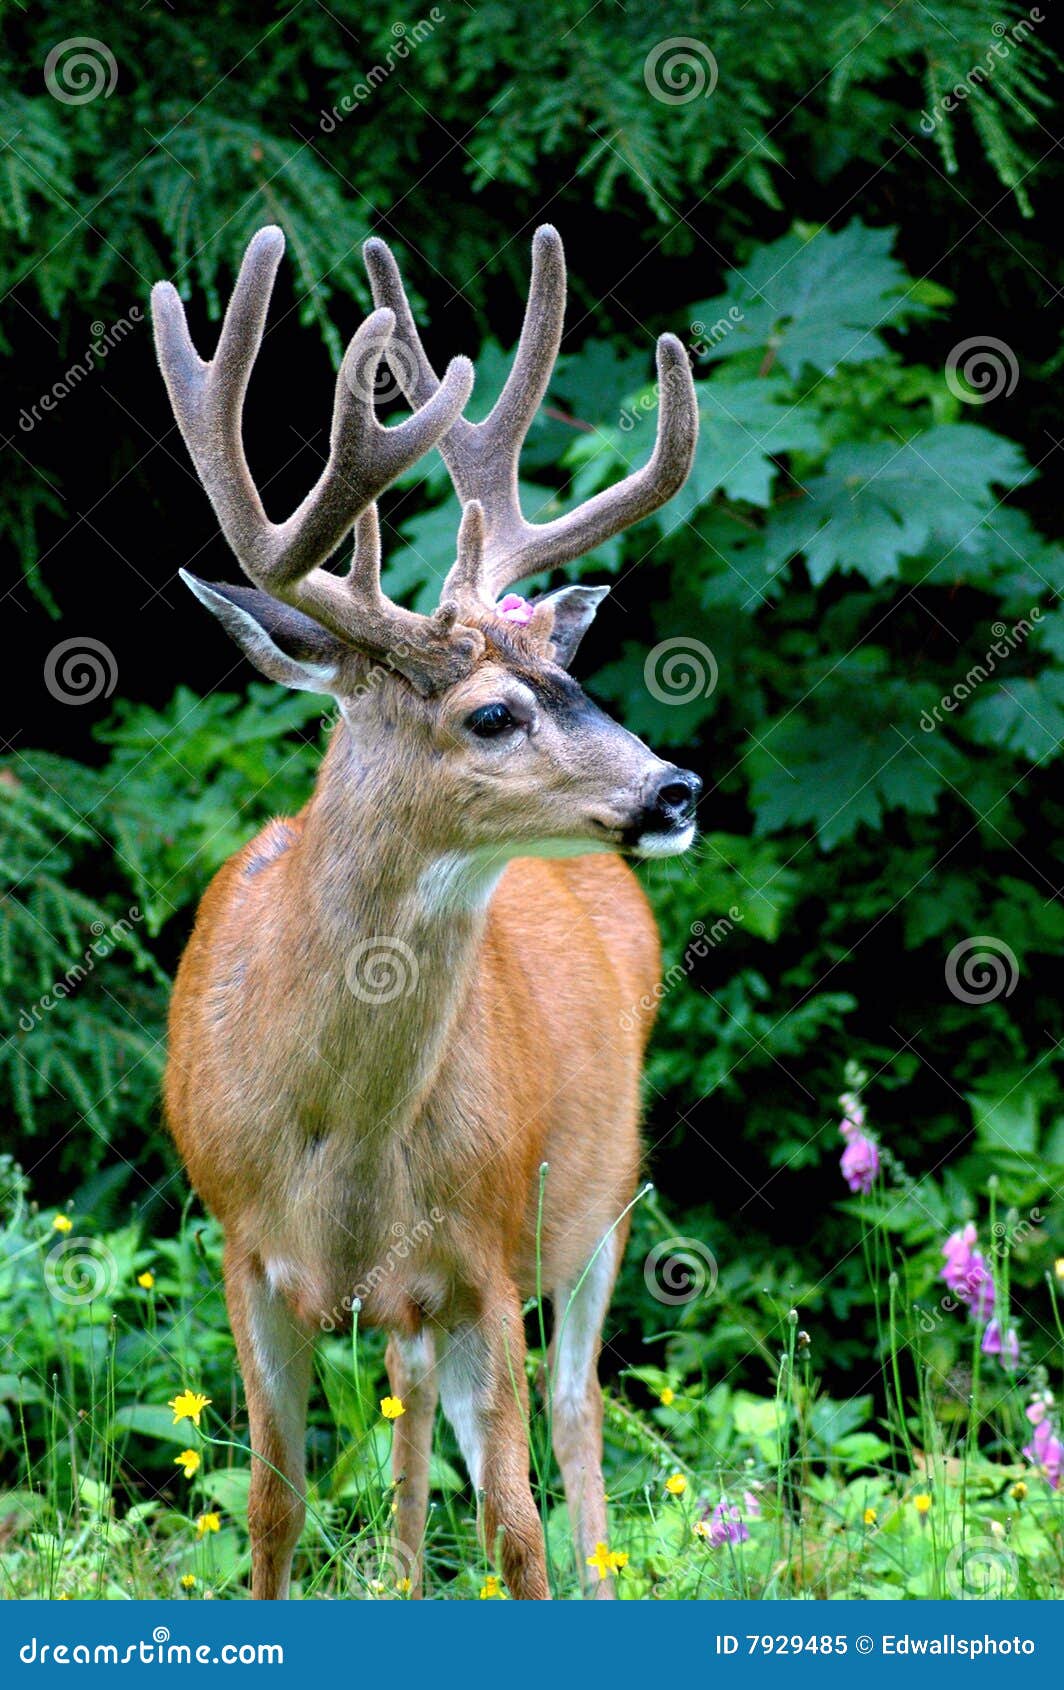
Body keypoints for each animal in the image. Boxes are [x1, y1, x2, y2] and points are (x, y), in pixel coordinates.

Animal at [152, 220, 700, 1602]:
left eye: (570, 673)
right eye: (491, 713)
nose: (674, 787)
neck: (335, 1139)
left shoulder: (486, 1252)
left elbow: (513, 1523)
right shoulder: (241, 1248)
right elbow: (272, 1508)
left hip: (602, 1189)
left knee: (575, 1411)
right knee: (405, 1420)